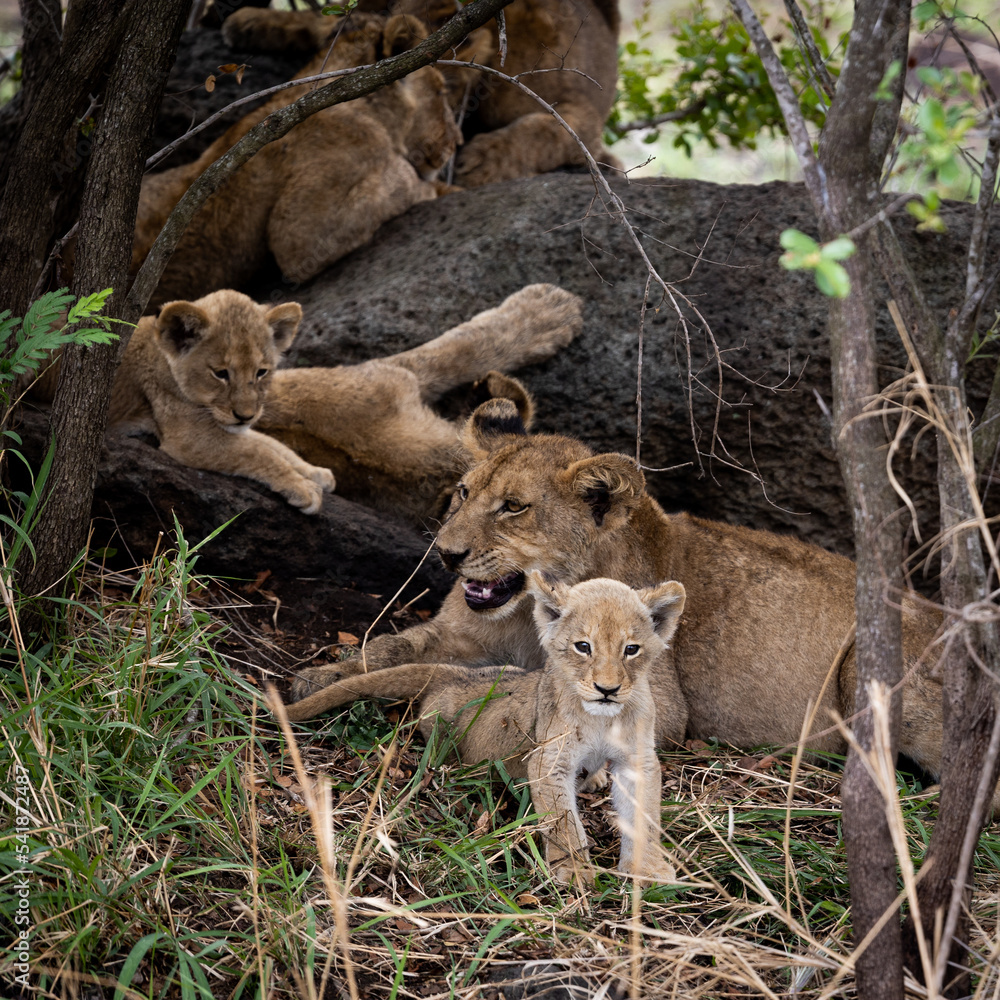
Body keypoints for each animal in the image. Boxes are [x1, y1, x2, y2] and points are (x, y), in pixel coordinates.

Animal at [284, 572, 686, 884]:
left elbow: (645, 817)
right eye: (582, 646)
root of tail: (456, 674)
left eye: (631, 649)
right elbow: (563, 823)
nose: (608, 689)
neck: (603, 718)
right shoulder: (548, 761)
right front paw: (573, 871)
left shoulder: (637, 761)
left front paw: (649, 870)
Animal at [292, 397, 999, 813]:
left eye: (514, 507)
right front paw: (317, 677)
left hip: (871, 666)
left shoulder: (663, 698)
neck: (522, 614)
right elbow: (392, 647)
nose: (446, 554)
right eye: (463, 493)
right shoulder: (462, 637)